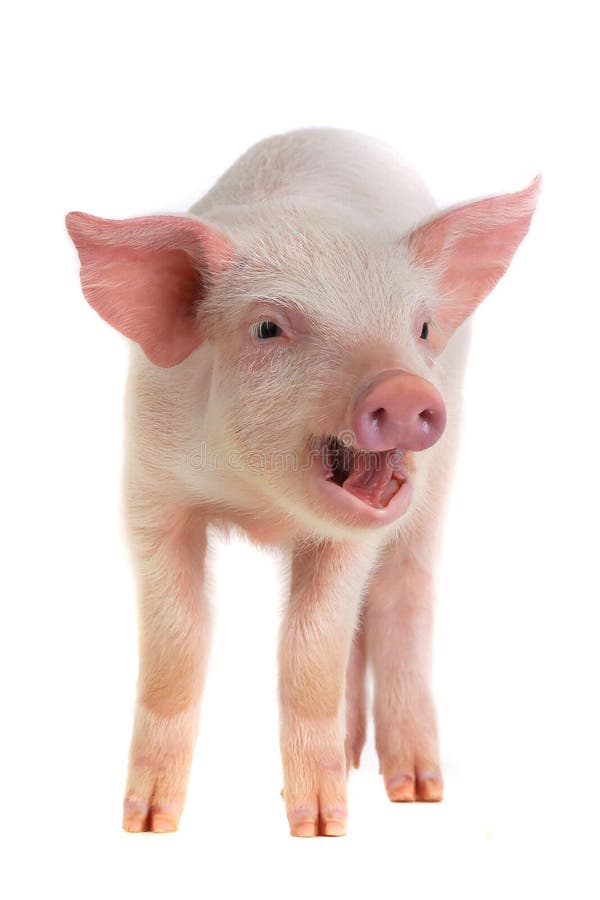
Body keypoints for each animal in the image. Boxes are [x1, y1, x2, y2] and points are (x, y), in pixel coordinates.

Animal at [66, 128, 540, 837]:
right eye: (268, 327)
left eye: (421, 328)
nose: (404, 388)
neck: (258, 500)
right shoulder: (150, 489)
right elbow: (176, 647)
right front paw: (147, 824)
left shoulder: (353, 537)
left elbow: (310, 651)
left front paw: (320, 828)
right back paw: (355, 761)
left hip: (438, 479)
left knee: (403, 595)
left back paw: (417, 791)